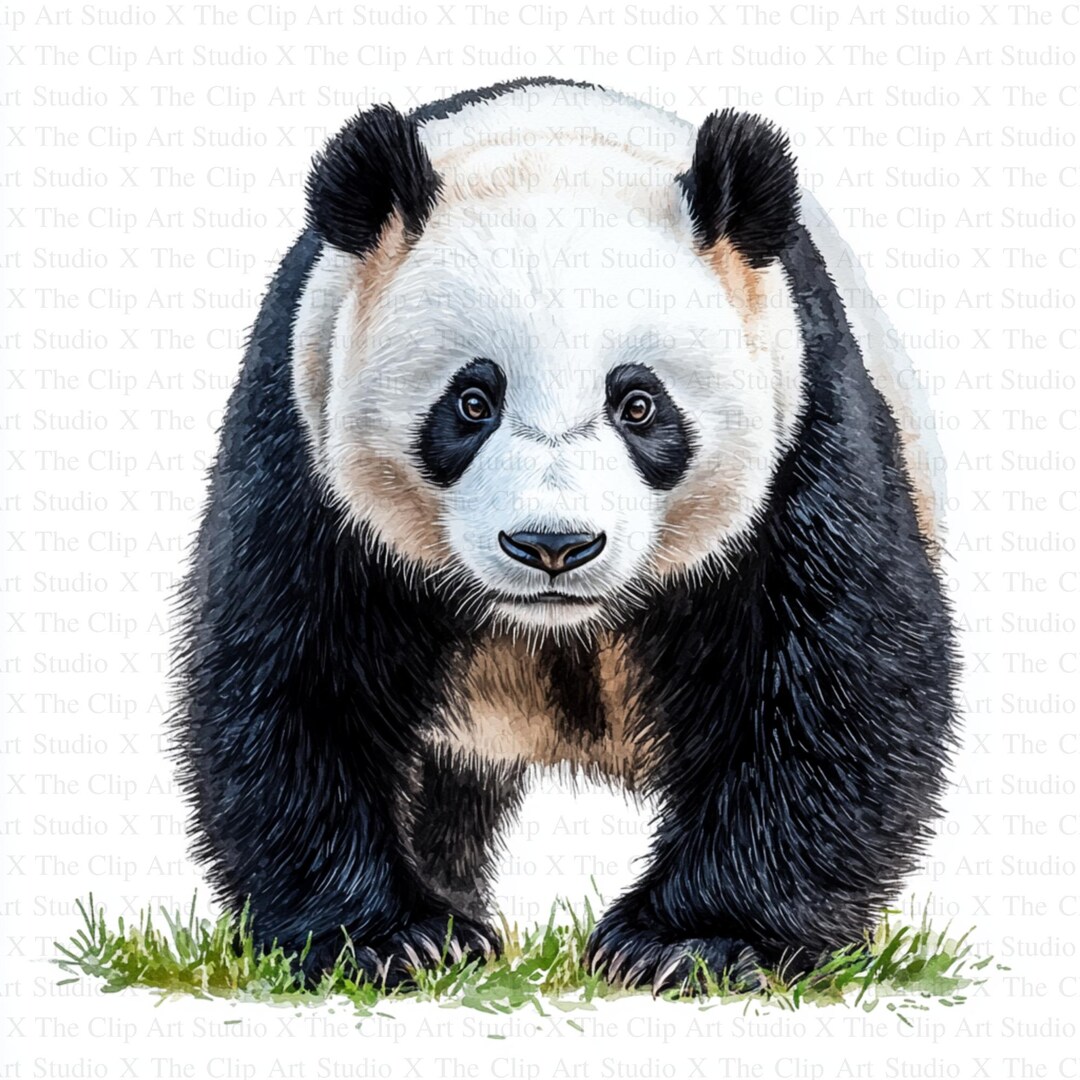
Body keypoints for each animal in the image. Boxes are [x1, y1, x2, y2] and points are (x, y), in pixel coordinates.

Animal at [174, 77, 958, 993]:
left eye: (640, 404)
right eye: (472, 402)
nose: (553, 546)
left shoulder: (804, 434)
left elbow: (829, 685)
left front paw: (691, 944)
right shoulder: (304, 440)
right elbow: (294, 679)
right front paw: (392, 941)